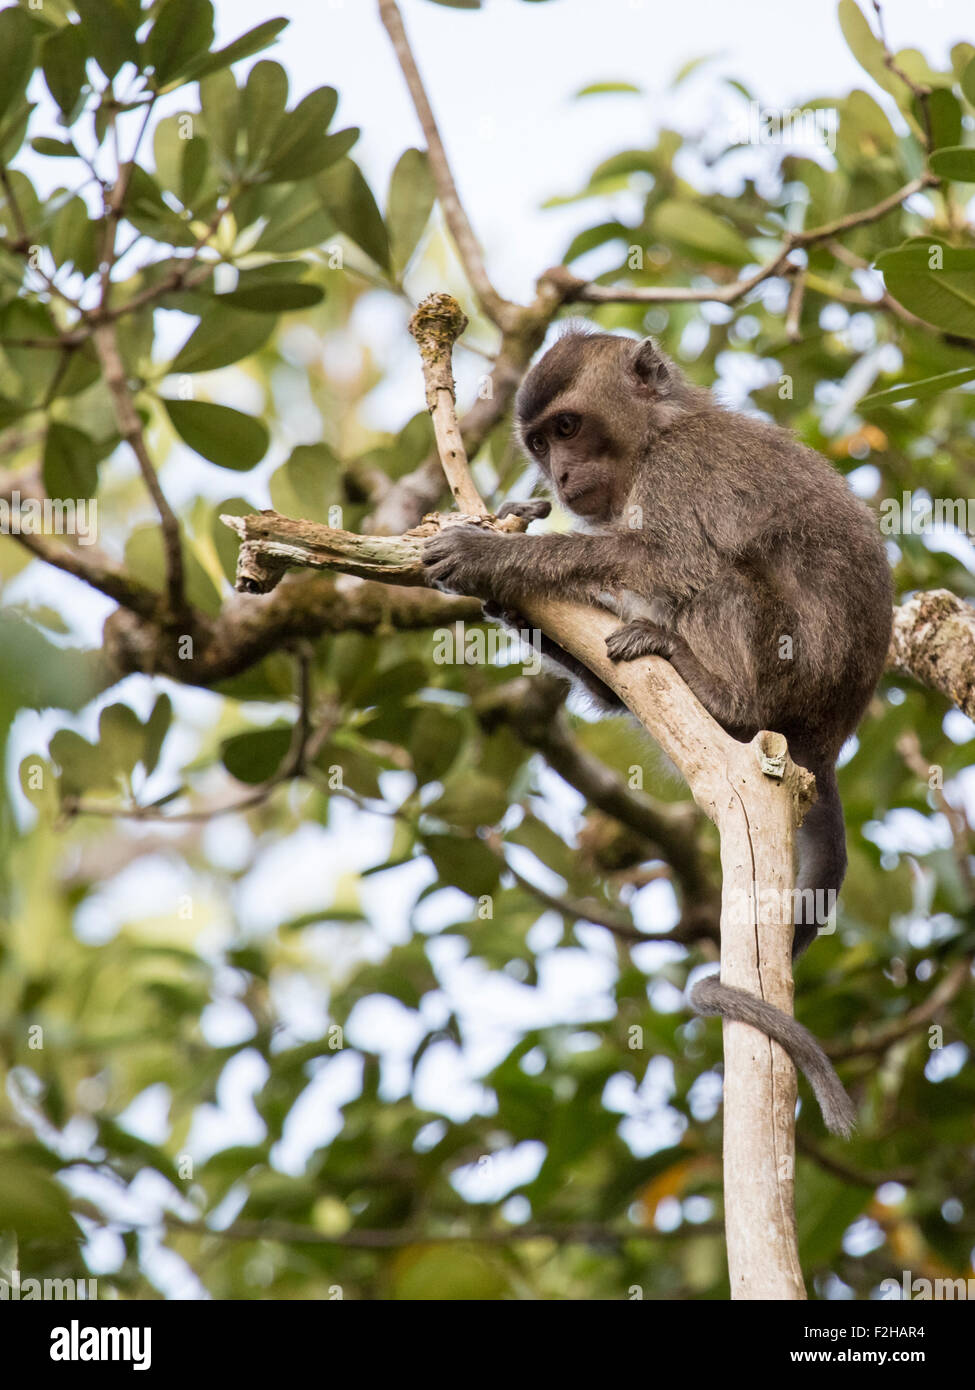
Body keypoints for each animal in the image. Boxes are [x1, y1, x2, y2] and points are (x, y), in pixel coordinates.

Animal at [422, 328, 893, 1137]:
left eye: (569, 427)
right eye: (540, 444)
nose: (562, 474)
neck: (655, 434)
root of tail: (827, 738)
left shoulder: (682, 473)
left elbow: (675, 559)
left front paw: (491, 557)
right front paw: (507, 587)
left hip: (786, 666)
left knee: (717, 577)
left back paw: (722, 698)